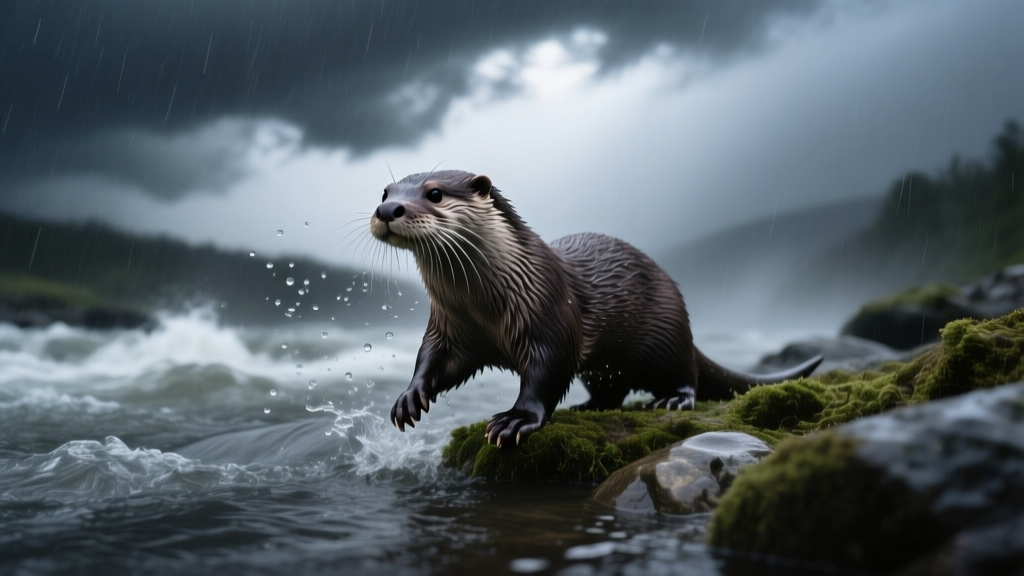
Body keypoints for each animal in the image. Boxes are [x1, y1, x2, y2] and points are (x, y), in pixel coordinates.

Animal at [370, 170, 821, 447]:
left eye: (434, 193)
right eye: (385, 192)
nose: (387, 210)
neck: (485, 306)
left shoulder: (549, 316)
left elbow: (545, 374)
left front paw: (516, 419)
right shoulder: (451, 327)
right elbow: (434, 361)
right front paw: (409, 397)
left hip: (667, 333)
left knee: (685, 373)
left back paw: (674, 400)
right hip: (610, 364)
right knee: (612, 389)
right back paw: (587, 406)